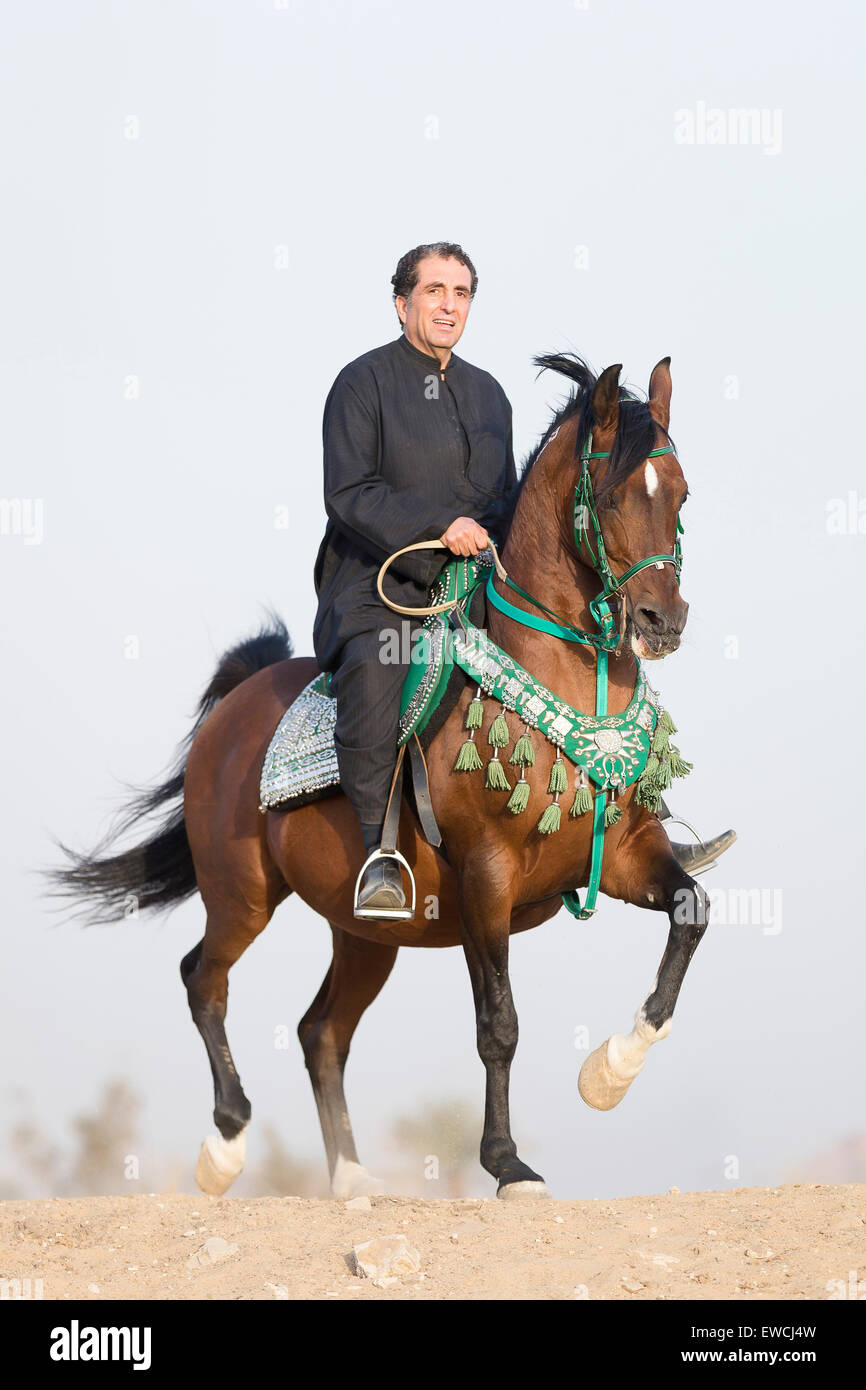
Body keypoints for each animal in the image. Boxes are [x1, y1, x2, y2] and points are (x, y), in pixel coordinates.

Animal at [49, 353, 711, 1201]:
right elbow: (499, 1025)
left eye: (682, 493)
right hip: (241, 894)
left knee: (320, 1031)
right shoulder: (486, 878)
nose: (664, 622)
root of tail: (239, 700)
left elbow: (692, 911)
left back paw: (353, 1177)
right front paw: (509, 1165)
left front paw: (610, 1072)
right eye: (617, 490)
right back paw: (224, 1145)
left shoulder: (625, 855)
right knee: (204, 979)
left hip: (365, 931)